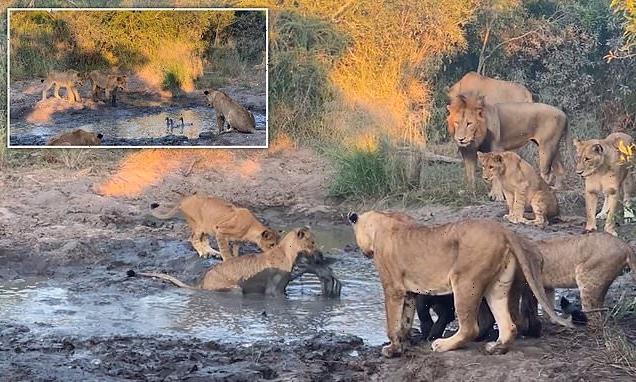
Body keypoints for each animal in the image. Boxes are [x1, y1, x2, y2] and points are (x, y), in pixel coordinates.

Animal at [150, 195, 280, 262]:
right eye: (272, 244)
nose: (275, 254)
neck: (251, 229)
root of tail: (184, 199)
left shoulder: (237, 240)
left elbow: (235, 249)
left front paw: (236, 259)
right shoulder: (220, 230)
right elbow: (225, 249)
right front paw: (228, 260)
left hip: (206, 227)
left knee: (204, 240)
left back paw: (212, 252)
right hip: (198, 224)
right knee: (193, 239)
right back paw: (203, 253)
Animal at [348, 210, 572, 356]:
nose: (362, 252)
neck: (382, 221)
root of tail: (504, 231)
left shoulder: (393, 288)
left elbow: (392, 322)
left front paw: (392, 349)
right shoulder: (409, 292)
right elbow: (405, 320)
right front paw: (402, 345)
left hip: (465, 283)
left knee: (470, 328)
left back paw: (443, 345)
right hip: (497, 288)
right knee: (509, 326)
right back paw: (495, 348)